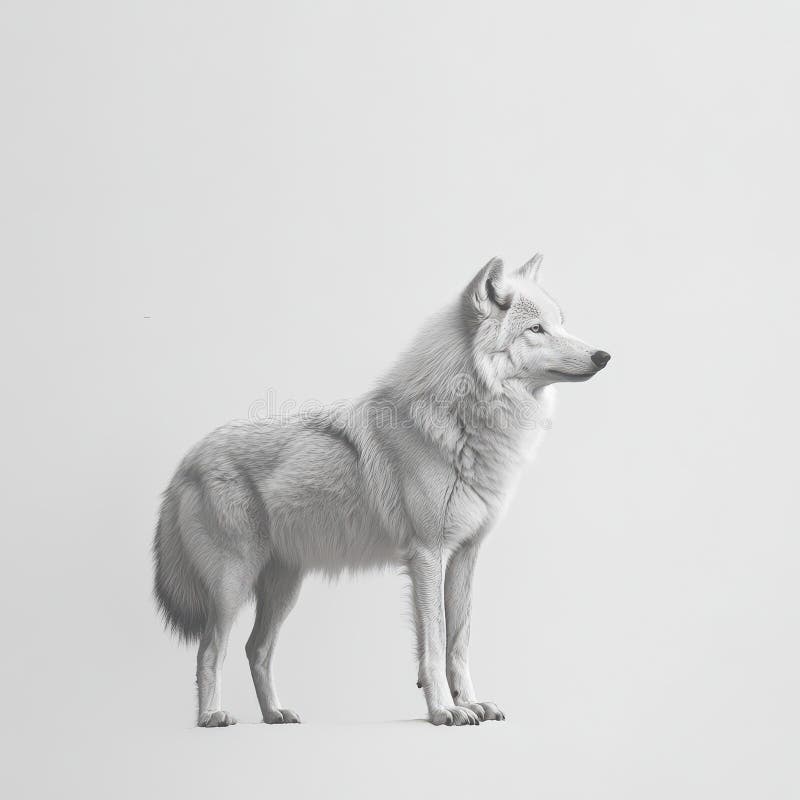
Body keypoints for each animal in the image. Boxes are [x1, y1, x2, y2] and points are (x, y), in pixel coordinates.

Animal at [153, 254, 610, 727]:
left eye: (560, 324)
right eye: (536, 329)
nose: (604, 355)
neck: (466, 422)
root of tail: (185, 461)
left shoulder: (466, 554)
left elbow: (460, 642)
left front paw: (471, 703)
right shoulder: (427, 554)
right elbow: (435, 642)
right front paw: (444, 710)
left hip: (284, 587)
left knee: (255, 649)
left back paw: (274, 713)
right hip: (233, 584)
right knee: (210, 651)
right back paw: (211, 716)